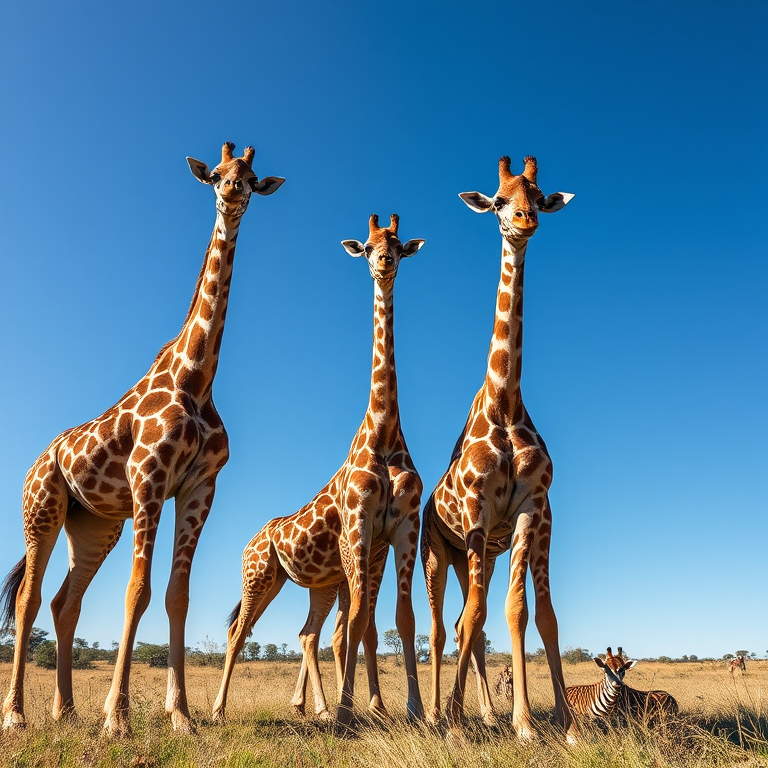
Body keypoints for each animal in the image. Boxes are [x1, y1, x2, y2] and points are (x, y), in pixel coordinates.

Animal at [0, 142, 284, 735]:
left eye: (250, 178)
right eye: (216, 175)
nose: (232, 195)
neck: (196, 379)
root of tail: (36, 462)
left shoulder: (199, 488)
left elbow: (177, 595)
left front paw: (181, 716)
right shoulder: (148, 477)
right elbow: (139, 591)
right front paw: (119, 718)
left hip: (95, 524)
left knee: (64, 603)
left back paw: (66, 712)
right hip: (42, 508)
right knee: (30, 599)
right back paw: (16, 715)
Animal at [212, 214, 425, 725]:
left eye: (398, 247)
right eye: (366, 246)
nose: (383, 263)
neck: (384, 432)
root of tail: (252, 541)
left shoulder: (398, 531)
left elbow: (397, 620)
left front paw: (411, 710)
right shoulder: (358, 528)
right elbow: (361, 623)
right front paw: (352, 711)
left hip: (315, 583)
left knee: (308, 631)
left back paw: (307, 706)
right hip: (259, 575)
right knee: (238, 632)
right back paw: (219, 710)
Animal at [420, 155, 577, 742]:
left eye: (536, 195)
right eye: (498, 200)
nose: (523, 221)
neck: (506, 405)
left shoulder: (532, 508)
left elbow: (521, 612)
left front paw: (538, 725)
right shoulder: (477, 509)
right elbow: (476, 619)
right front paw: (459, 724)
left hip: (485, 552)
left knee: (474, 616)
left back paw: (484, 713)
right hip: (438, 552)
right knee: (443, 626)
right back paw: (439, 714)